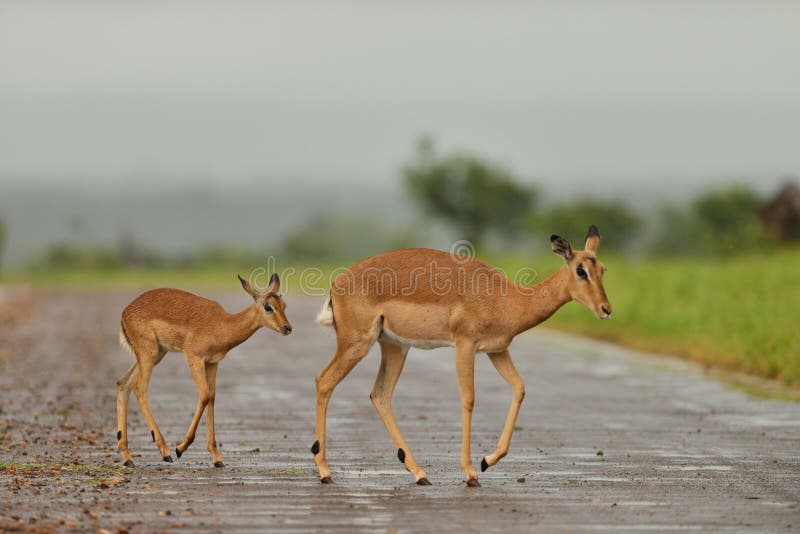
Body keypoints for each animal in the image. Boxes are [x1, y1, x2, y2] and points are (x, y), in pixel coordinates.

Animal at [116, 273, 291, 467]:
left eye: (284, 305)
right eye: (268, 306)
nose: (287, 328)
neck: (221, 324)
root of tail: (124, 313)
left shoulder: (212, 363)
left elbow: (212, 397)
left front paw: (217, 458)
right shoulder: (194, 358)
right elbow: (205, 395)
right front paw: (180, 448)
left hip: (154, 355)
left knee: (123, 384)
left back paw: (128, 457)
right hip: (149, 356)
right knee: (139, 389)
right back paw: (166, 452)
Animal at [312, 226, 611, 486]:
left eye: (602, 269)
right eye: (581, 270)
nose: (606, 309)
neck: (508, 299)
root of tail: (337, 283)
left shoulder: (497, 350)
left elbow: (520, 388)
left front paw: (486, 461)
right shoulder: (465, 345)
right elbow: (469, 399)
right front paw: (471, 473)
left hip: (395, 347)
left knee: (380, 395)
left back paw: (420, 474)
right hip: (357, 343)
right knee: (324, 381)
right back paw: (325, 472)